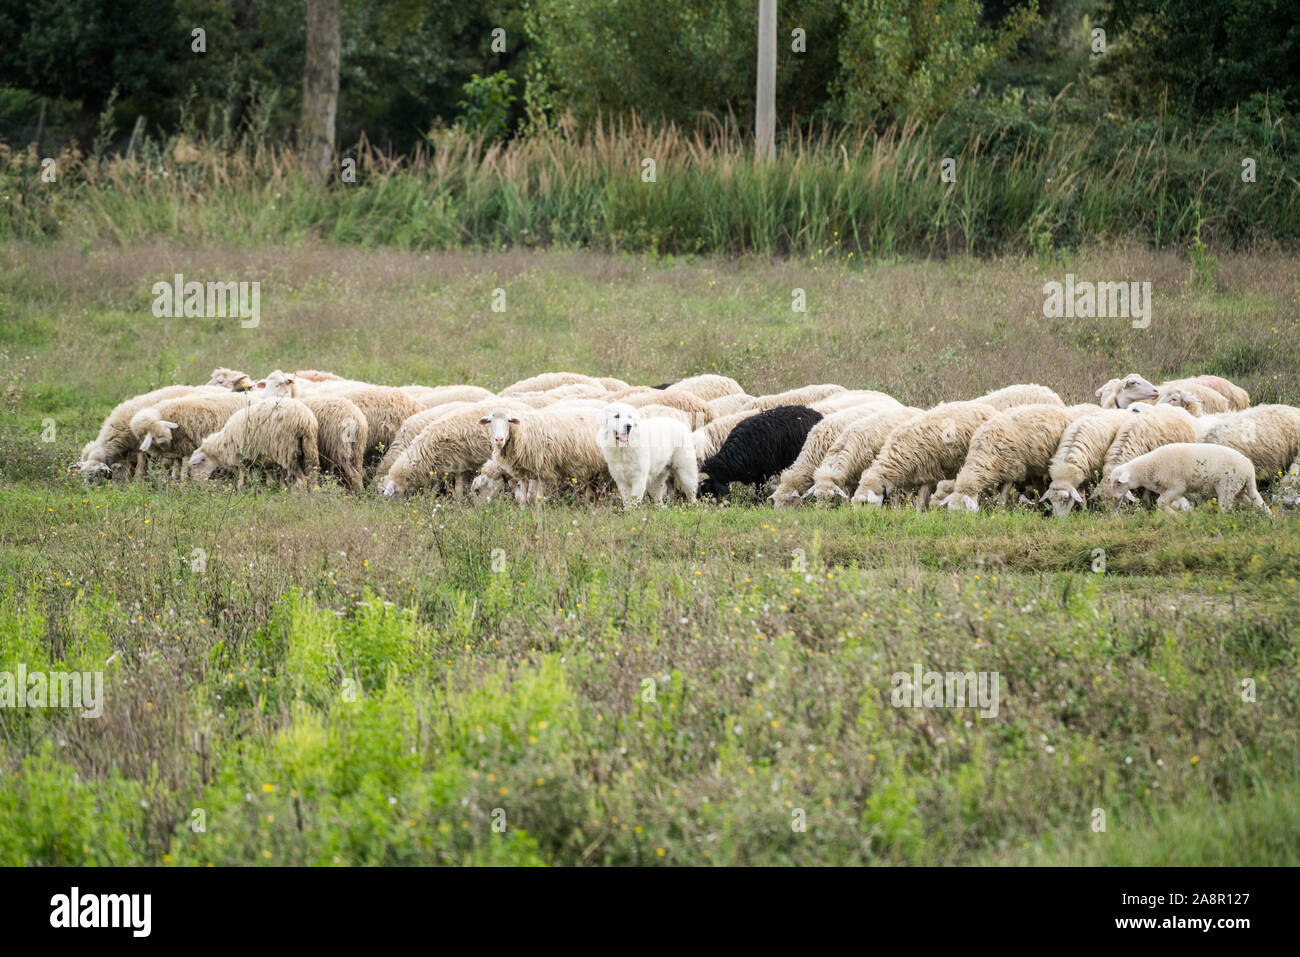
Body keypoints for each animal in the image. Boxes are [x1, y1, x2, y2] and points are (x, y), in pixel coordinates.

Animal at [188, 397, 319, 488]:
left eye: (195, 465)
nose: (196, 486)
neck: (222, 444)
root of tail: (304, 419)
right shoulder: (265, 461)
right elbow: (270, 482)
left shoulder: (243, 459)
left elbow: (242, 482)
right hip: (309, 448)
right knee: (312, 476)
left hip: (287, 451)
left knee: (302, 480)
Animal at [941, 404, 1092, 511]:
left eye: (963, 512)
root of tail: (1061, 410)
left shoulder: (1011, 472)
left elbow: (1002, 499)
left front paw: (999, 512)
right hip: (1035, 467)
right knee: (1039, 488)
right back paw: (1039, 509)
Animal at [1110, 444, 1267, 514]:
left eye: (1118, 482)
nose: (1115, 498)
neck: (1150, 467)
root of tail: (1249, 467)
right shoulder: (1174, 491)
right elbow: (1178, 503)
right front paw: (1186, 513)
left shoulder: (1176, 486)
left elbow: (1161, 502)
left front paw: (1174, 516)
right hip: (1241, 488)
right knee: (1257, 502)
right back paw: (1268, 517)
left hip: (1227, 486)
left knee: (1225, 507)